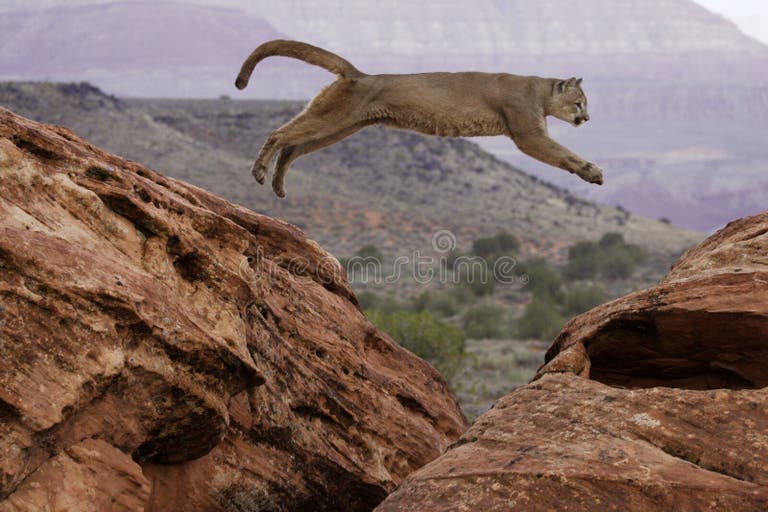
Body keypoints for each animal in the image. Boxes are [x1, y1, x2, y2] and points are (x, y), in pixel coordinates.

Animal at [235, 40, 603, 198]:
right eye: (579, 103)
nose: (587, 118)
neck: (540, 92)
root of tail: (360, 74)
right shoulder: (528, 134)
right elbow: (560, 153)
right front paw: (592, 171)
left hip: (341, 126)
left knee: (293, 146)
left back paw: (278, 184)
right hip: (333, 119)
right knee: (279, 134)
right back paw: (259, 171)